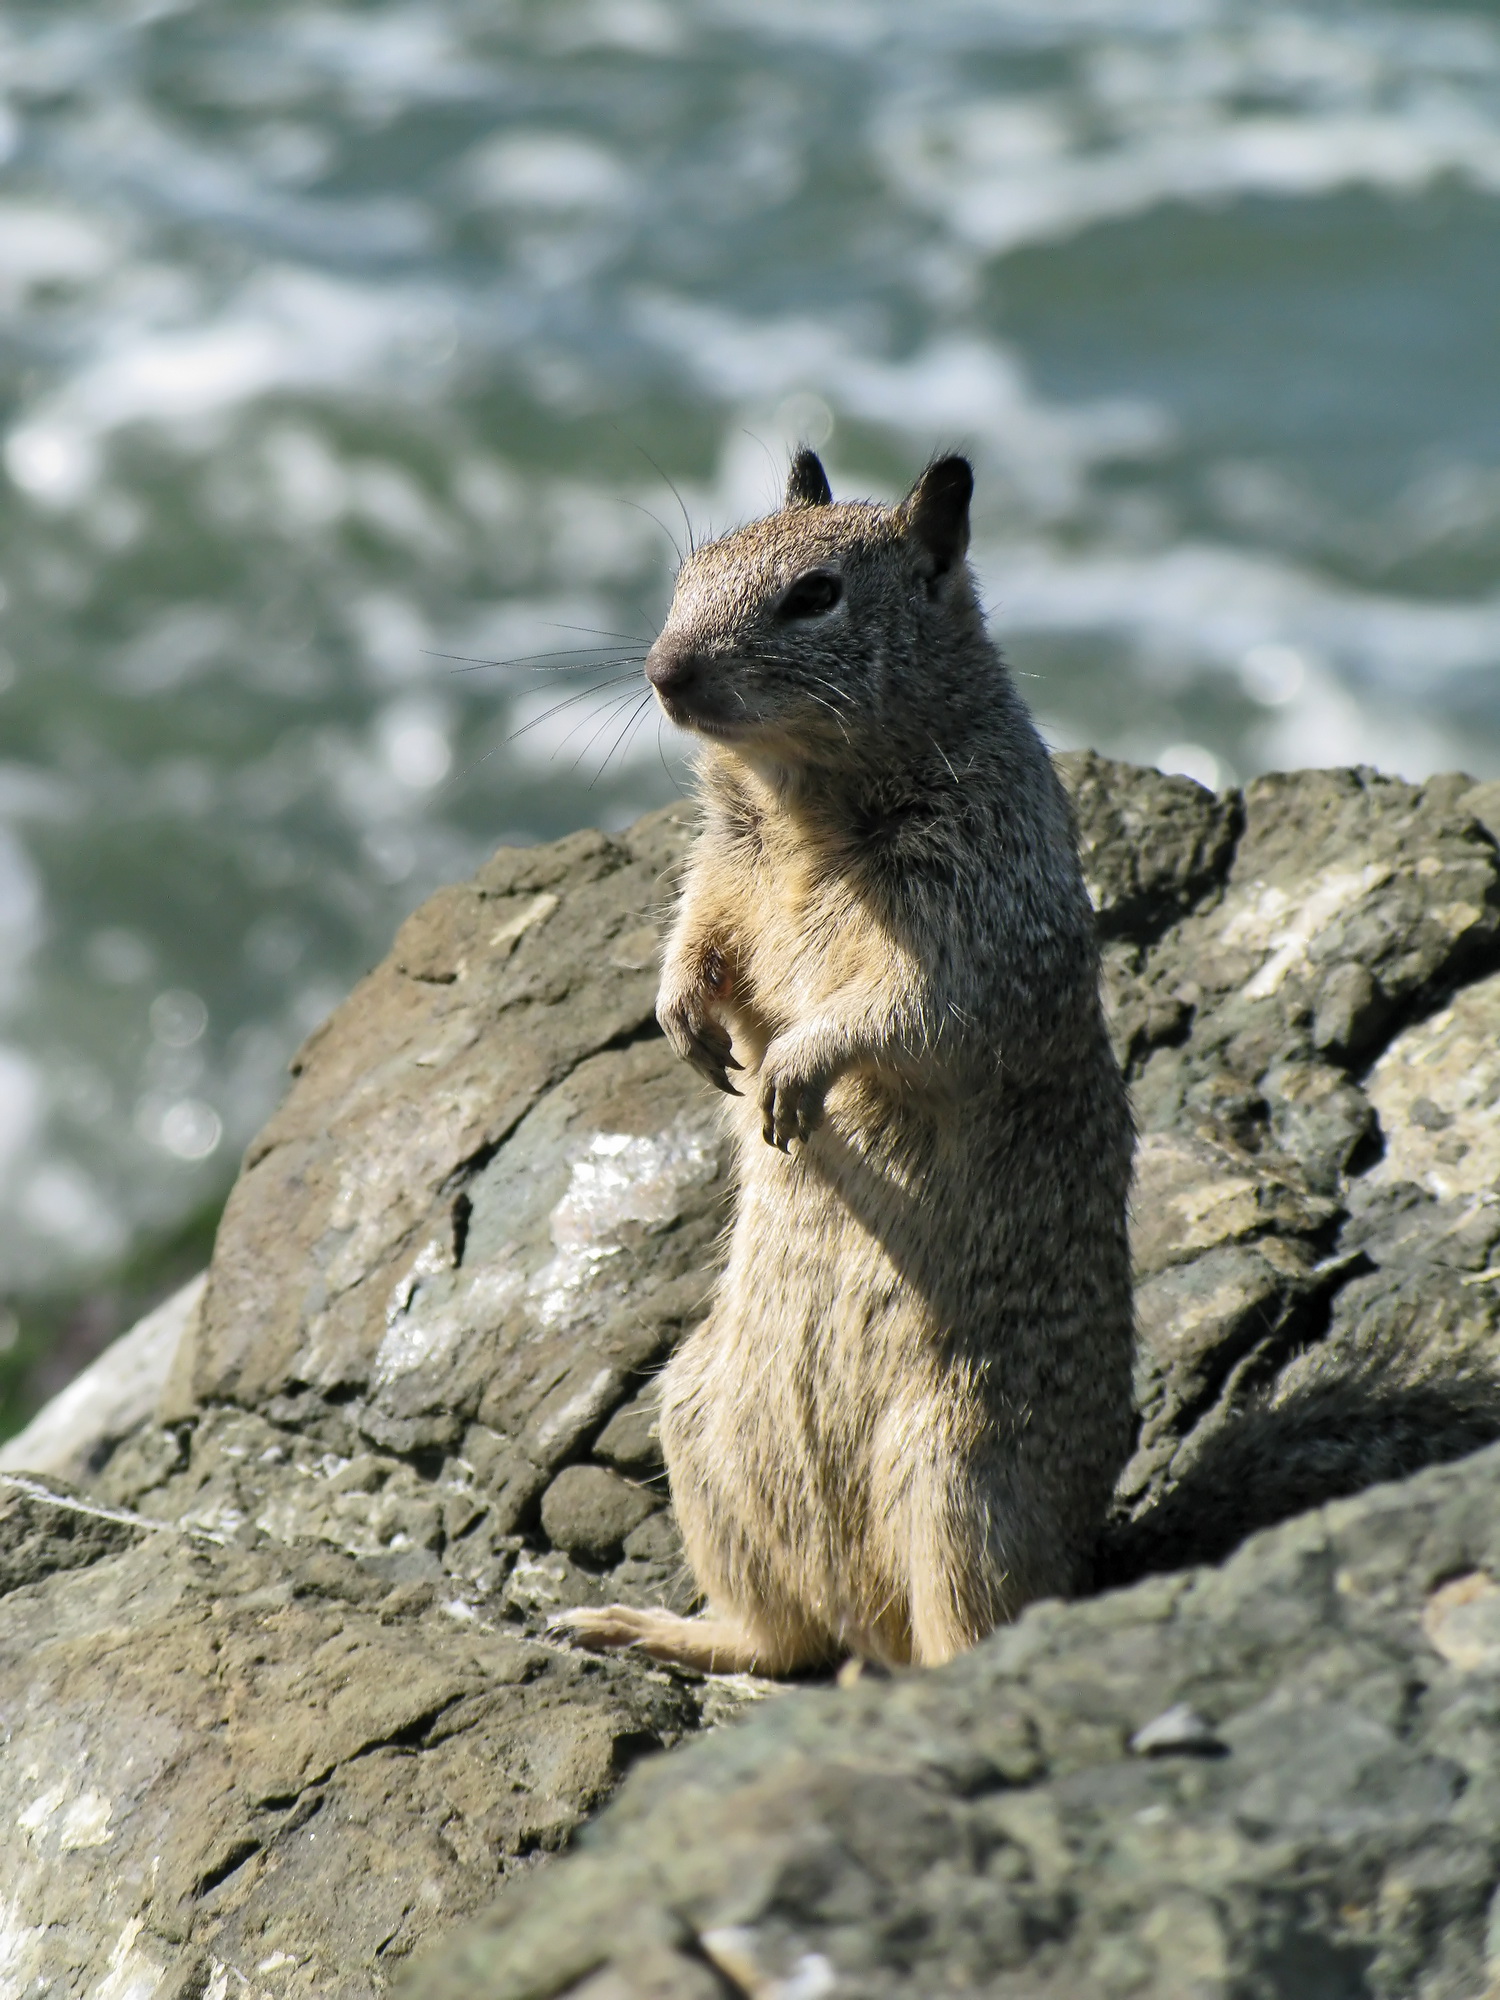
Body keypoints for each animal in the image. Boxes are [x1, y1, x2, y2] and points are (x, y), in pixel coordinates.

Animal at [551, 450, 1135, 1673]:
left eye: (815, 595)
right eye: (687, 571)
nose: (664, 671)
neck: (797, 800)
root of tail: (868, 1615)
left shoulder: (977, 913)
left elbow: (909, 1013)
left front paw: (792, 1074)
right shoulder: (722, 863)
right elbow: (698, 932)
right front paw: (681, 1015)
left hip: (963, 1481)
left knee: (959, 1627)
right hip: (697, 1424)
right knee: (777, 1641)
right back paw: (644, 1623)